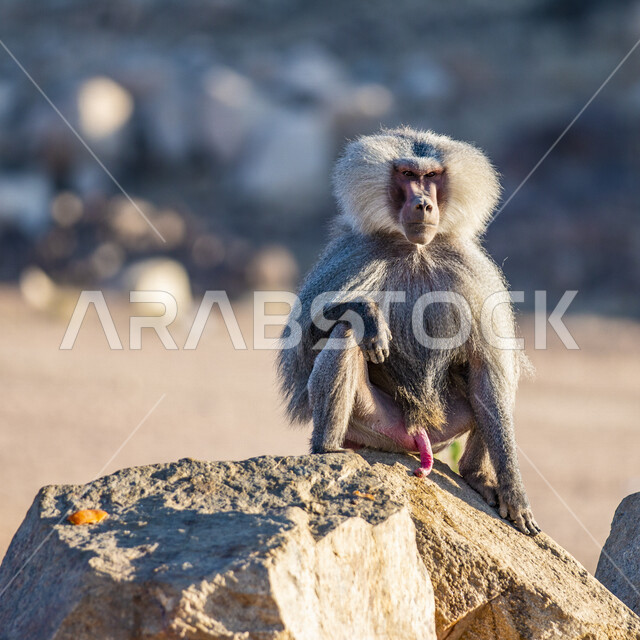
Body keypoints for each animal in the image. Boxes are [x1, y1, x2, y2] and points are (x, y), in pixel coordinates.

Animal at [277, 126, 540, 536]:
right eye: (406, 175)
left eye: (431, 177)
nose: (423, 205)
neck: (417, 249)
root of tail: (418, 437)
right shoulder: (353, 254)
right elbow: (305, 339)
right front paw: (368, 315)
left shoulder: (470, 269)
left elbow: (486, 366)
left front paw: (514, 492)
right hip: (377, 428)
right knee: (346, 333)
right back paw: (328, 448)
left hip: (446, 424)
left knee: (493, 377)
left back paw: (474, 474)